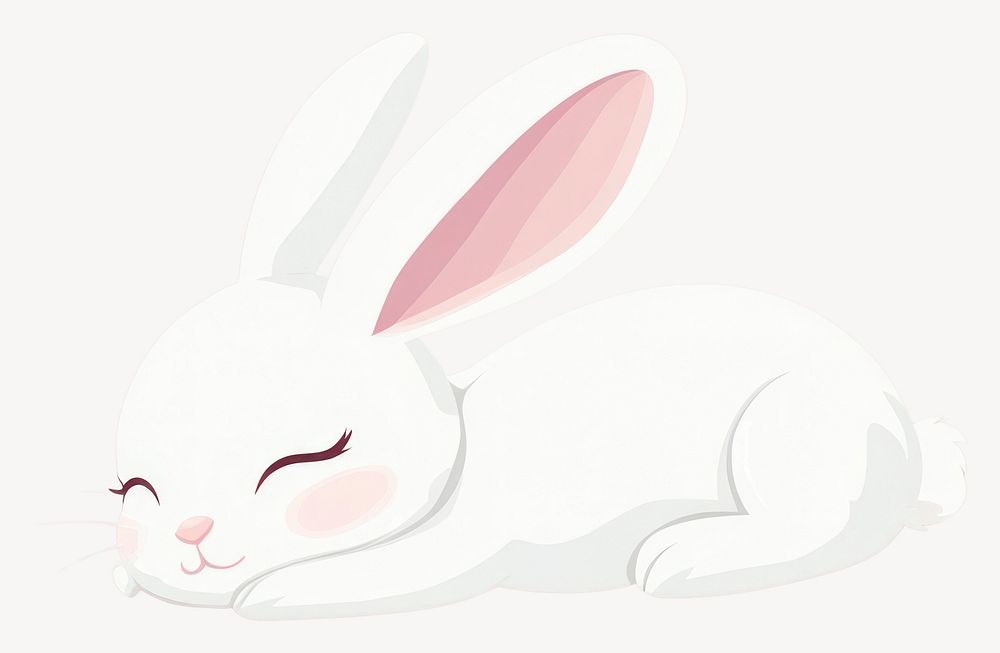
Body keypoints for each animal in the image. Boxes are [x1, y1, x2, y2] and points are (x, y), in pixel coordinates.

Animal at [110, 33, 966, 619]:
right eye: (133, 485)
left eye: (309, 457)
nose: (188, 532)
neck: (457, 458)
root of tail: (905, 437)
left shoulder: (457, 547)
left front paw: (270, 593)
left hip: (795, 438)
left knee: (821, 529)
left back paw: (685, 555)